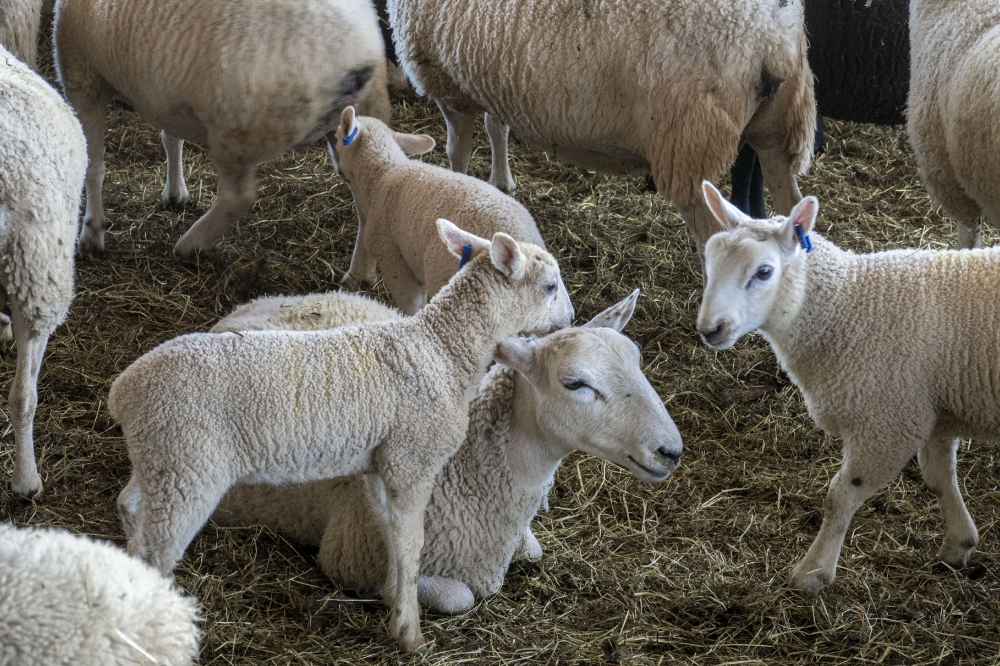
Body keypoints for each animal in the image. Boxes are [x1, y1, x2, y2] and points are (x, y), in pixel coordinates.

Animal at [53, 0, 389, 258]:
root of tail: (358, 52)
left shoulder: (80, 75)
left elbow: (92, 165)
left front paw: (91, 233)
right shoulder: (165, 91)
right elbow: (170, 138)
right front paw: (175, 191)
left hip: (237, 128)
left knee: (237, 198)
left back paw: (190, 244)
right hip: (361, 123)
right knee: (372, 197)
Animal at [111, 220, 574, 651]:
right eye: (550, 286)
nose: (570, 319)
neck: (442, 350)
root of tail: (123, 391)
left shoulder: (380, 465)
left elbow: (389, 534)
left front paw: (392, 604)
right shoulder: (413, 460)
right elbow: (413, 545)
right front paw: (410, 634)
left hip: (161, 459)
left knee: (129, 507)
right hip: (189, 466)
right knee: (155, 552)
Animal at [209, 289, 682, 613]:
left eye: (638, 361)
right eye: (575, 383)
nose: (671, 450)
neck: (465, 468)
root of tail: (252, 306)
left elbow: (533, 550)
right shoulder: (354, 558)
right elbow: (457, 596)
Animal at [386, 0, 816, 252]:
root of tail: (770, 36)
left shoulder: (447, 80)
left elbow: (456, 151)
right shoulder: (493, 76)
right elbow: (497, 127)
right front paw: (502, 183)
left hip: (689, 142)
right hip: (777, 129)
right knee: (792, 204)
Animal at [695, 180, 1000, 596]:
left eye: (764, 271)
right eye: (709, 264)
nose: (709, 330)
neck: (848, 304)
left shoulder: (886, 423)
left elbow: (839, 497)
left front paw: (813, 572)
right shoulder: (929, 408)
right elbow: (939, 478)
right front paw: (959, 543)